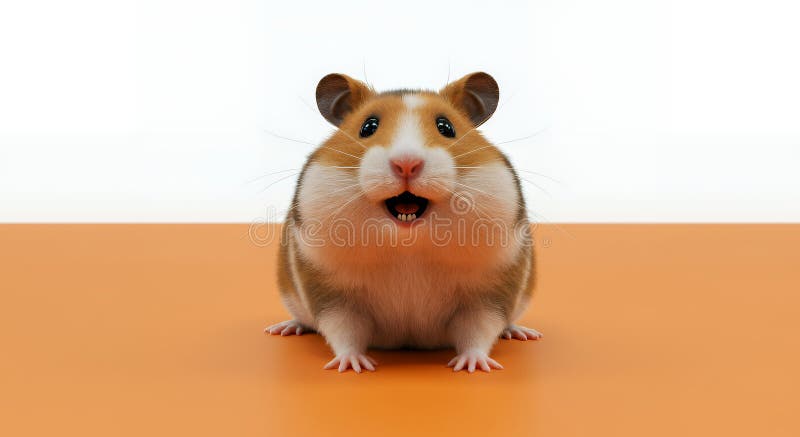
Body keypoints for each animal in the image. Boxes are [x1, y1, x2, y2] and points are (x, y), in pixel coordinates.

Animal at [266, 72, 541, 373]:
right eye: (368, 126)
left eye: (446, 127)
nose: (406, 164)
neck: (408, 246)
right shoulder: (335, 296)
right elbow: (344, 331)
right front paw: (354, 365)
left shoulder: (486, 294)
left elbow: (478, 331)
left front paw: (473, 366)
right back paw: (284, 328)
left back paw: (522, 333)